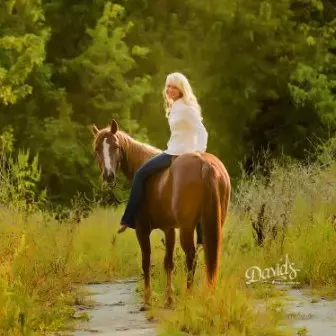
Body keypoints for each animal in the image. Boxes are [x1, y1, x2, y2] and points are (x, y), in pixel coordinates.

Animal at [90, 119, 230, 308]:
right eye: (97, 148)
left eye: (115, 146)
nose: (108, 175)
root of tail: (205, 164)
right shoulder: (169, 230)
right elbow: (168, 263)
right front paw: (169, 298)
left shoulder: (142, 230)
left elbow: (146, 262)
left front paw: (147, 299)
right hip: (212, 225)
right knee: (209, 257)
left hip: (187, 228)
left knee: (191, 258)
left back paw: (188, 296)